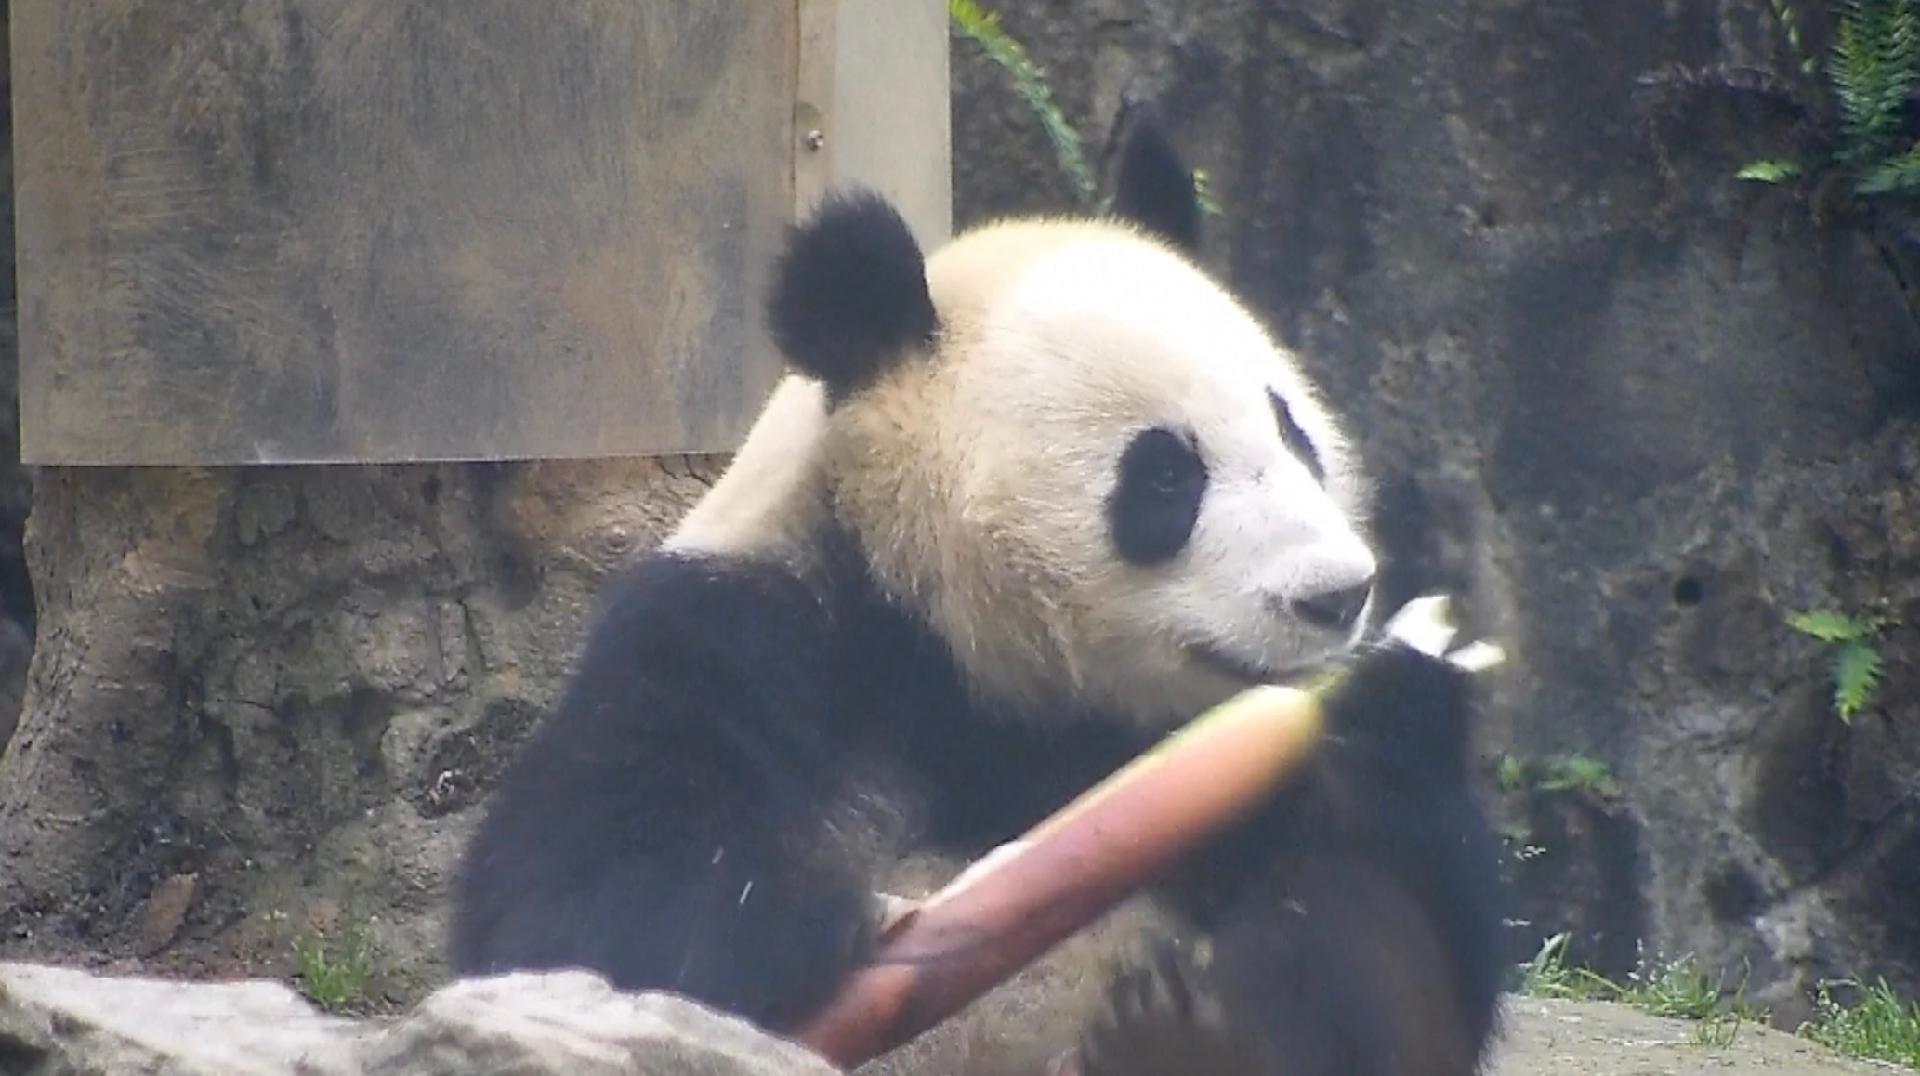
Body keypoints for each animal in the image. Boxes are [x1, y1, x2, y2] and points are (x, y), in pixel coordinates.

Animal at [448, 113, 1508, 1076]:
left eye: (1294, 433)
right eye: (1167, 476)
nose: (1338, 595)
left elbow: (1399, 951)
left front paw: (1398, 705)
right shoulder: (744, 637)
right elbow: (583, 914)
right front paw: (827, 914)